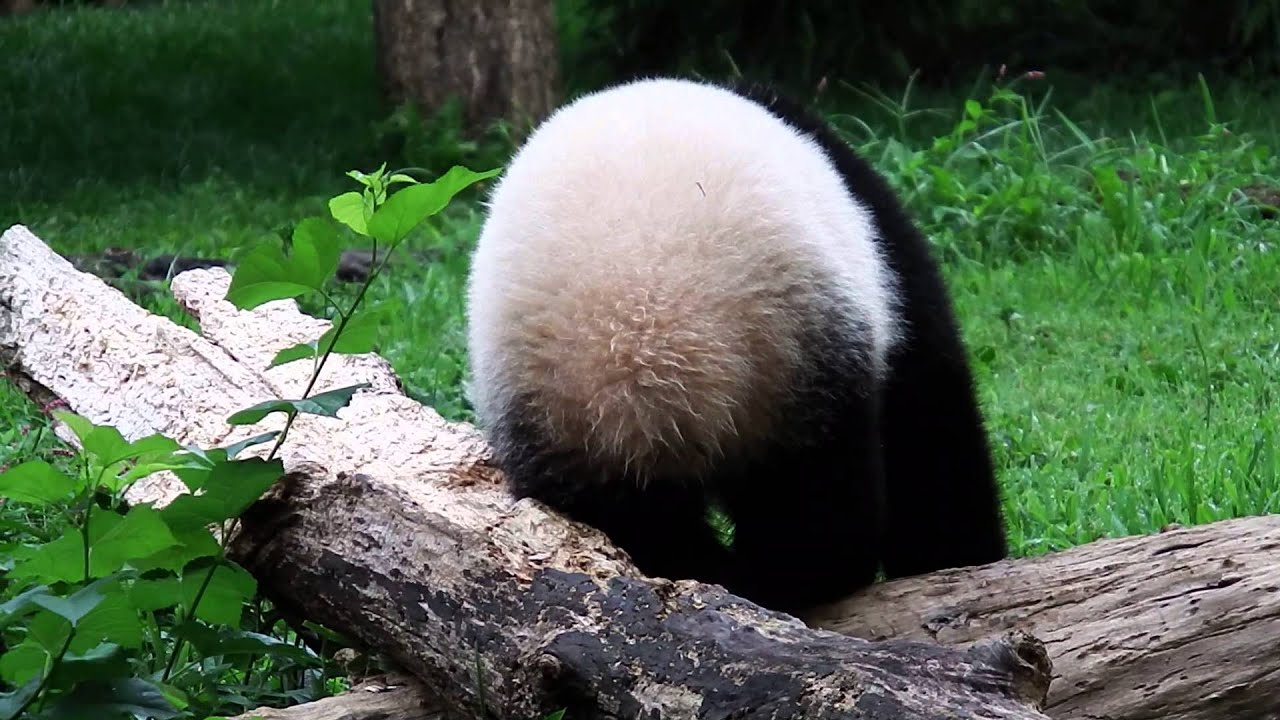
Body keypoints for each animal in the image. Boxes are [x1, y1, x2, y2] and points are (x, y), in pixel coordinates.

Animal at [464, 76, 1007, 615]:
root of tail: (641, 355)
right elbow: (929, 427)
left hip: (563, 430)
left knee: (649, 528)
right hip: (794, 350)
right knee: (817, 504)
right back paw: (789, 579)